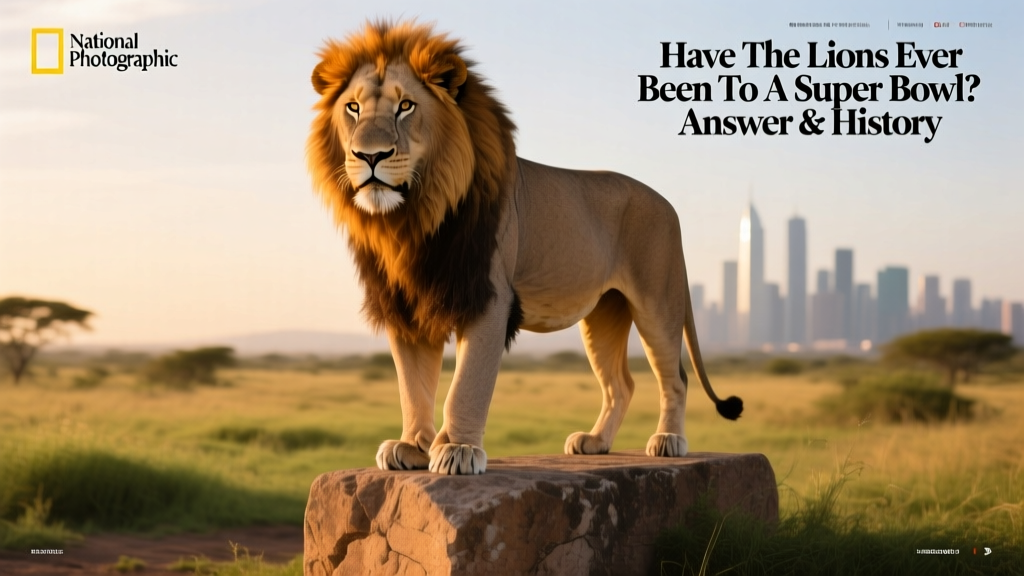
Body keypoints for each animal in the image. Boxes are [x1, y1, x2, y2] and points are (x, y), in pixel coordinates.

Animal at [307, 20, 742, 475]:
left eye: (405, 106)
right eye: (353, 108)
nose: (369, 155)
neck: (412, 220)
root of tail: (667, 203)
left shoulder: (488, 296)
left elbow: (467, 384)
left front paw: (458, 449)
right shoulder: (407, 303)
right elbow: (413, 385)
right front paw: (411, 446)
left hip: (657, 300)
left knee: (675, 377)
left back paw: (669, 440)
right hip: (605, 313)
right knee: (621, 383)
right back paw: (596, 441)